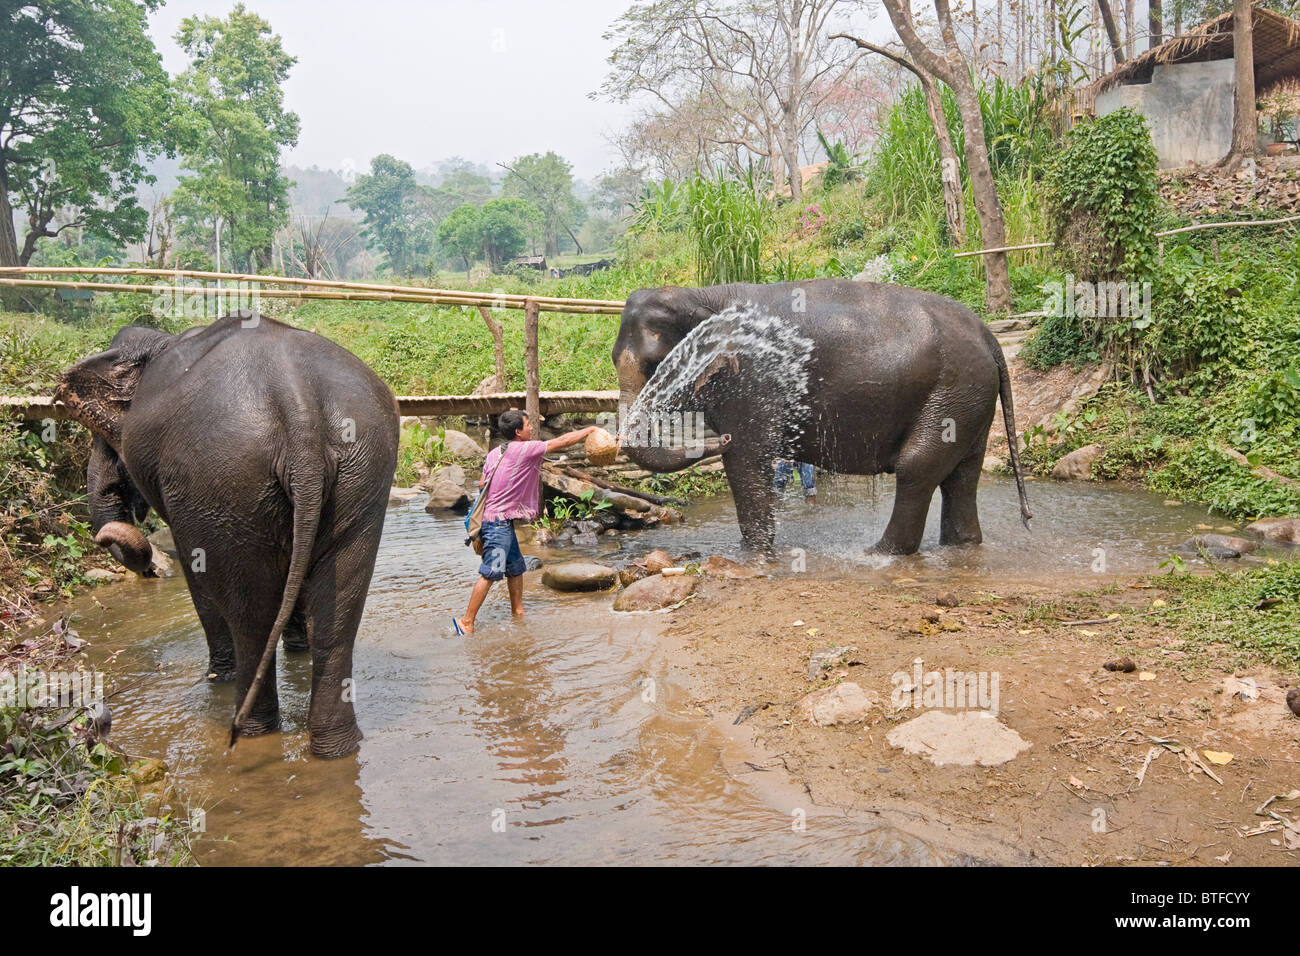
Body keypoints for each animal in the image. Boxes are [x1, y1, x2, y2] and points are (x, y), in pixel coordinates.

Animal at [55, 312, 399, 757]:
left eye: (108, 439)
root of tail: (297, 403)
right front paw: (296, 649)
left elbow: (197, 574)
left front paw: (220, 676)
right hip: (362, 468)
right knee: (338, 616)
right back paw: (336, 748)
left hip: (221, 478)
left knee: (249, 618)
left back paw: (248, 730)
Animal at [612, 280, 1031, 555]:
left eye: (655, 366)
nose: (717, 439)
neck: (700, 293)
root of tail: (989, 336)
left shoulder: (755, 377)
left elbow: (748, 456)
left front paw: (755, 556)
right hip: (969, 397)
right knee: (962, 472)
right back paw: (961, 547)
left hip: (954, 388)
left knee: (917, 467)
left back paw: (878, 554)